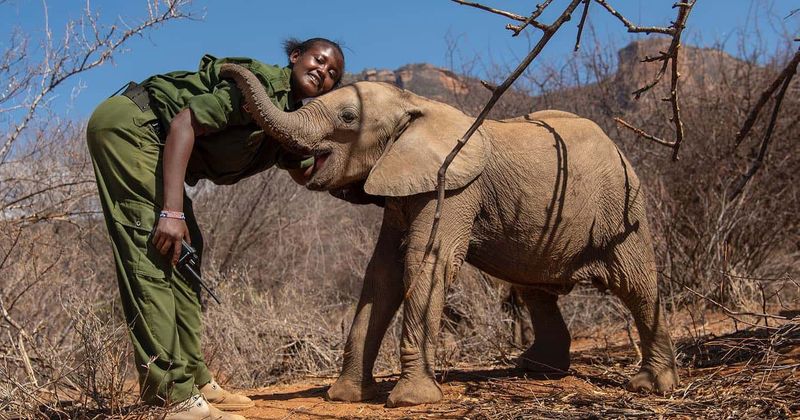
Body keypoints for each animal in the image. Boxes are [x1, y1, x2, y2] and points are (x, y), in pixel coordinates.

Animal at [219, 63, 680, 407]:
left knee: (637, 285)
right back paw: (535, 369)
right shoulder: (401, 184)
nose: (223, 69)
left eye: (348, 118)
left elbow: (424, 262)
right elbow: (382, 274)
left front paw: (409, 400)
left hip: (621, 206)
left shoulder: (456, 187)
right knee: (535, 289)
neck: (415, 105)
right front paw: (347, 396)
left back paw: (651, 386)